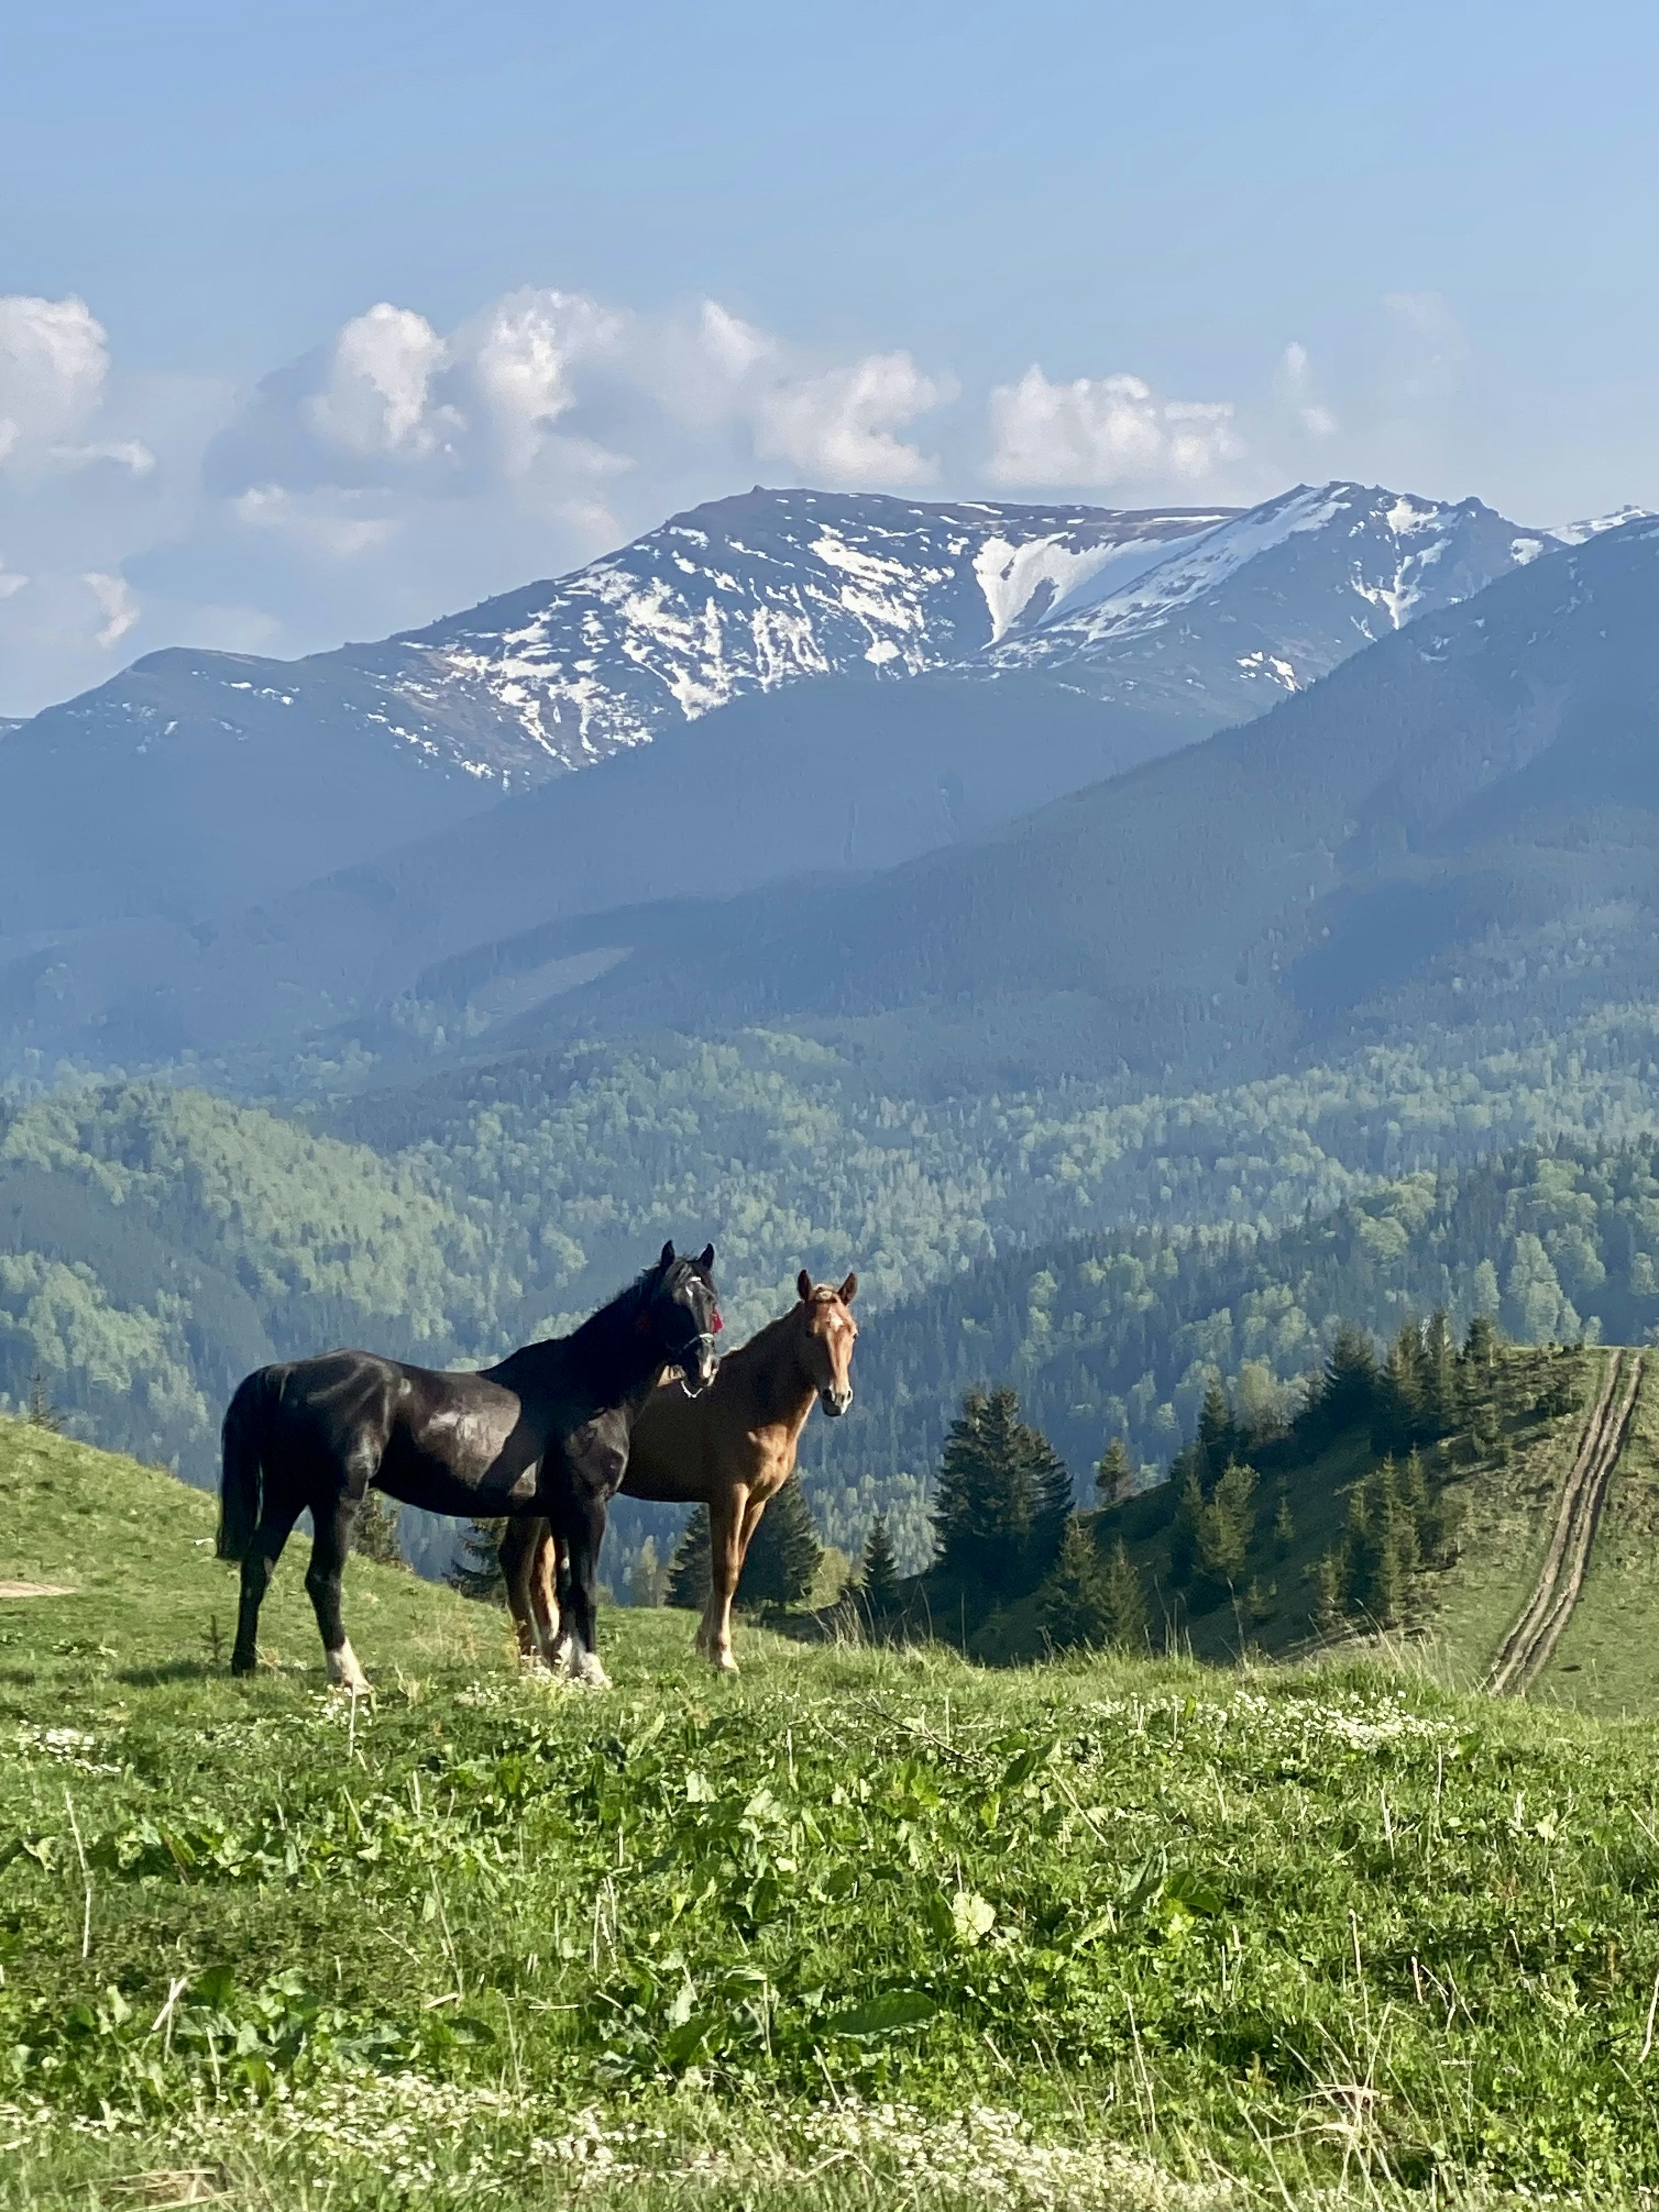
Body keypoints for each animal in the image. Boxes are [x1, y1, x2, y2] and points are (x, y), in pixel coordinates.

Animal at [216, 1241, 720, 1691]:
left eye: (711, 1300)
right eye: (674, 1301)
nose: (705, 1368)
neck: (590, 1385)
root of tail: (288, 1373)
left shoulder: (560, 1512)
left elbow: (564, 1588)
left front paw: (567, 1664)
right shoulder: (588, 1506)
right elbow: (584, 1589)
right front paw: (593, 1672)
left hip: (286, 1494)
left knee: (258, 1566)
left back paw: (244, 1663)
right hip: (336, 1499)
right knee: (323, 1579)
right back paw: (349, 1675)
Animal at [500, 1269, 857, 1674]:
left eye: (852, 1333)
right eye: (810, 1333)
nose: (837, 1397)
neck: (754, 1401)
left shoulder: (757, 1502)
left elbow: (736, 1567)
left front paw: (705, 1644)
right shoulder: (730, 1496)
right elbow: (725, 1569)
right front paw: (722, 1654)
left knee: (539, 1568)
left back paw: (555, 1649)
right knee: (521, 1562)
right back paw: (544, 1653)